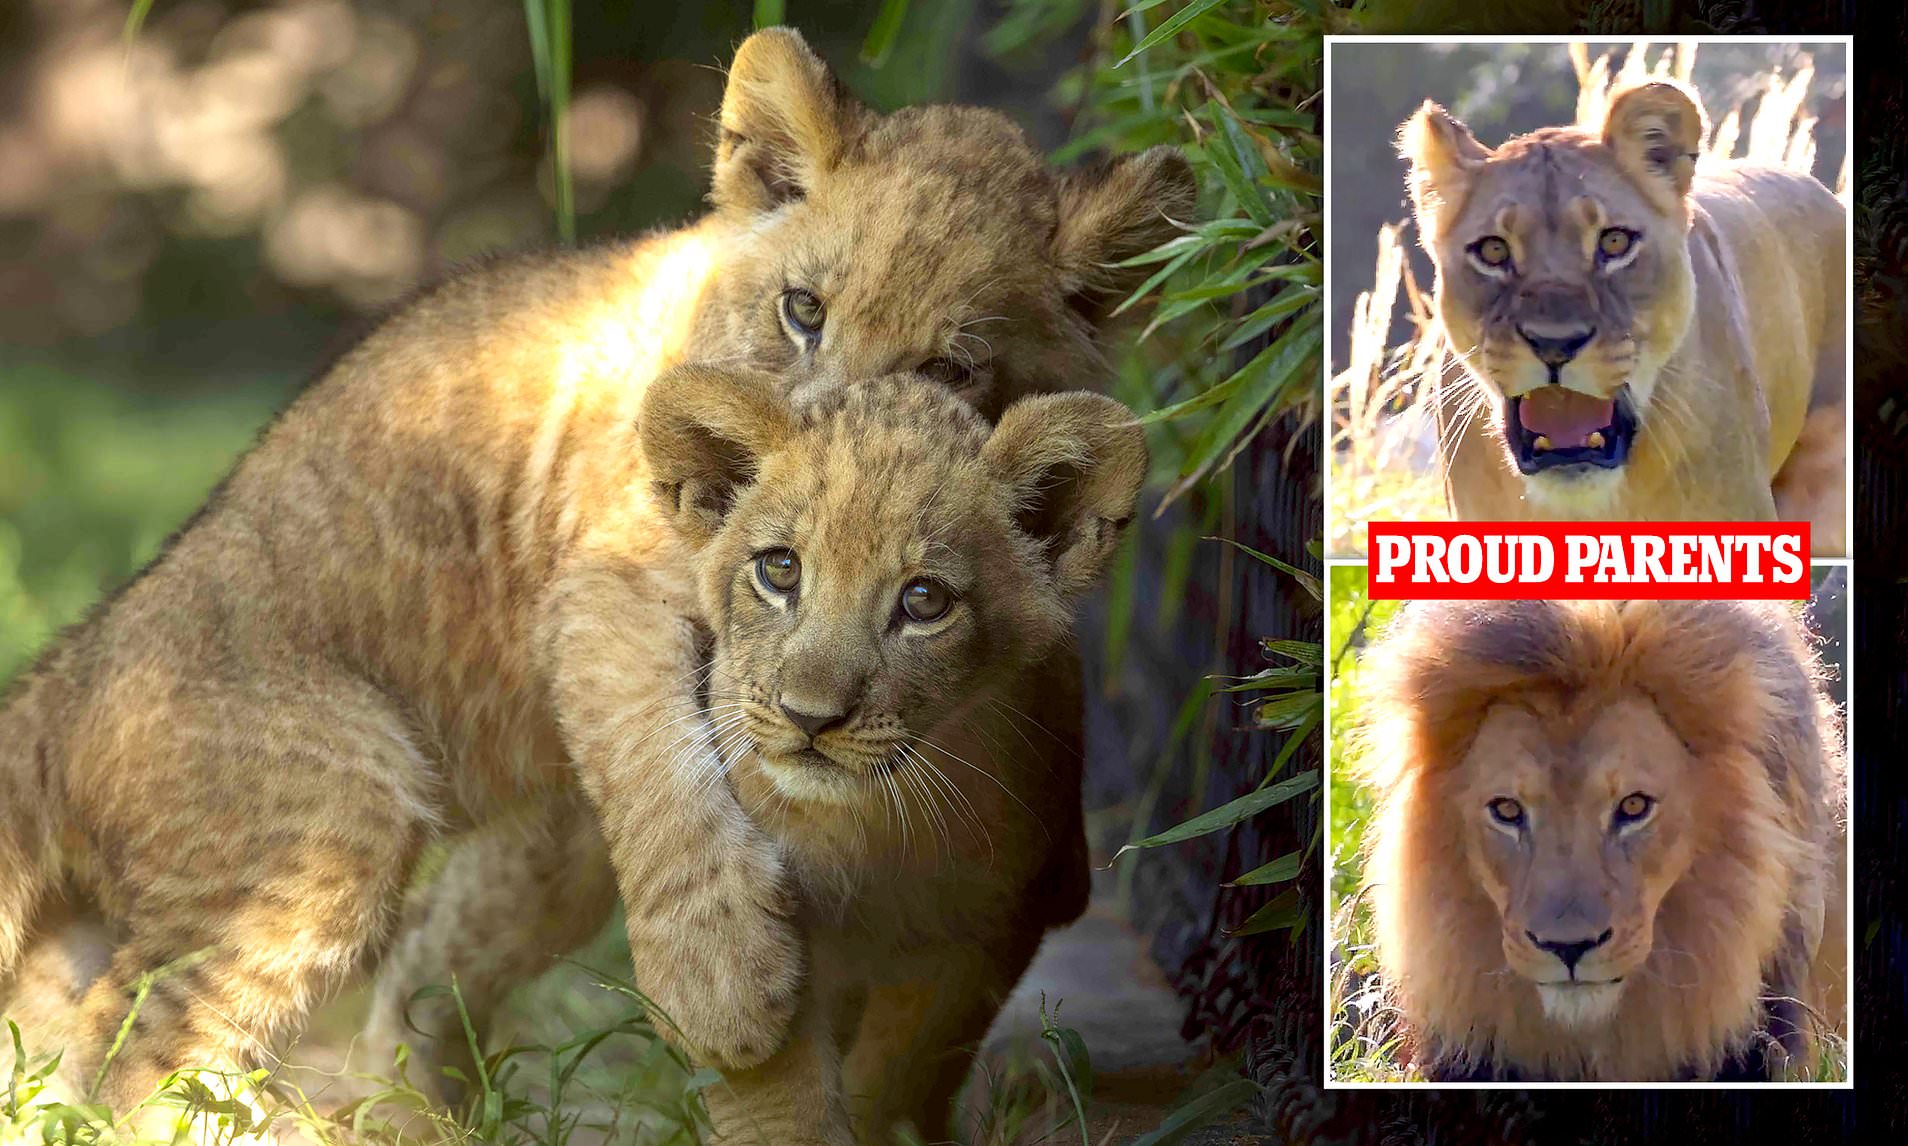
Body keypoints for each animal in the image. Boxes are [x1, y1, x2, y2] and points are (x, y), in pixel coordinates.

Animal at [0, 23, 1188, 1123]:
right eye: (804, 310)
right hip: (330, 813)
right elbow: (656, 760)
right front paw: (722, 984)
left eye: (950, 367)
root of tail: (75, 668)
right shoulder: (608, 586)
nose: (807, 458)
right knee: (131, 1041)